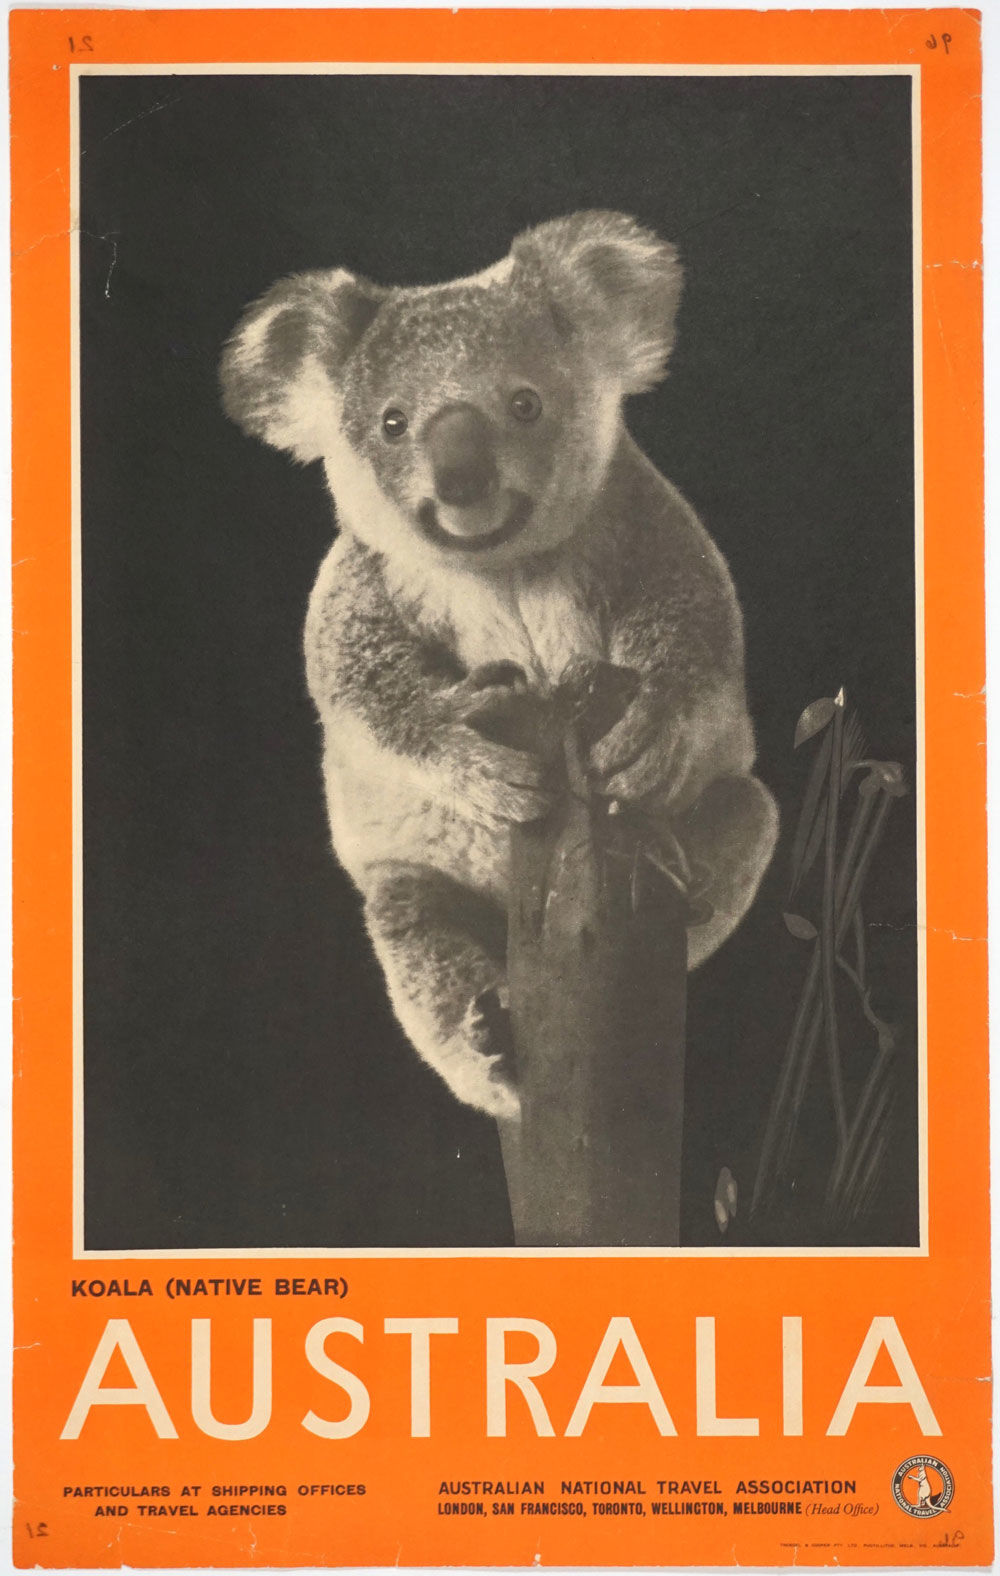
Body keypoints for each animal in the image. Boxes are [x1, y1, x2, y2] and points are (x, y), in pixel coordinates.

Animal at [221, 211, 778, 1122]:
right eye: (393, 424)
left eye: (525, 404)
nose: (461, 479)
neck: (504, 566)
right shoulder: (362, 580)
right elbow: (360, 689)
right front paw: (478, 757)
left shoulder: (646, 526)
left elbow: (694, 628)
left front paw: (645, 734)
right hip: (412, 890)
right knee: (424, 947)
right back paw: (489, 1048)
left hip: (723, 833)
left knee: (743, 822)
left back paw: (671, 870)